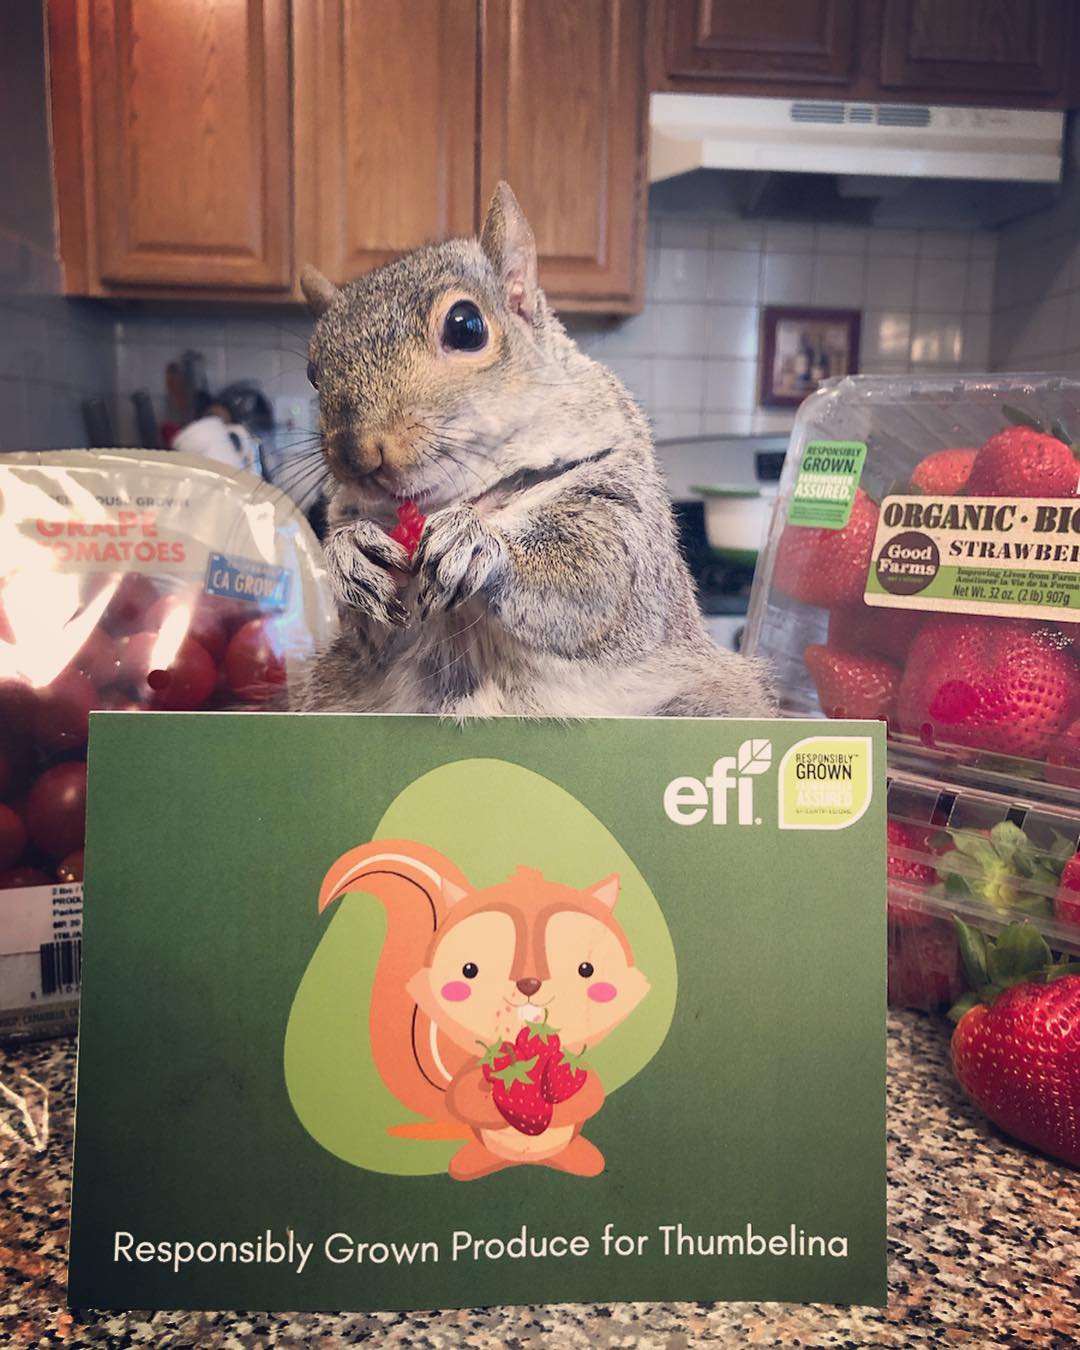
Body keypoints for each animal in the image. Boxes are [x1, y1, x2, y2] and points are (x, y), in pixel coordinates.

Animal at [296, 182, 774, 718]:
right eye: (312, 371)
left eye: (466, 326)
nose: (355, 454)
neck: (457, 498)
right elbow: (373, 638)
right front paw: (349, 555)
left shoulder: (617, 502)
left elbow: (599, 571)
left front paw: (481, 544)